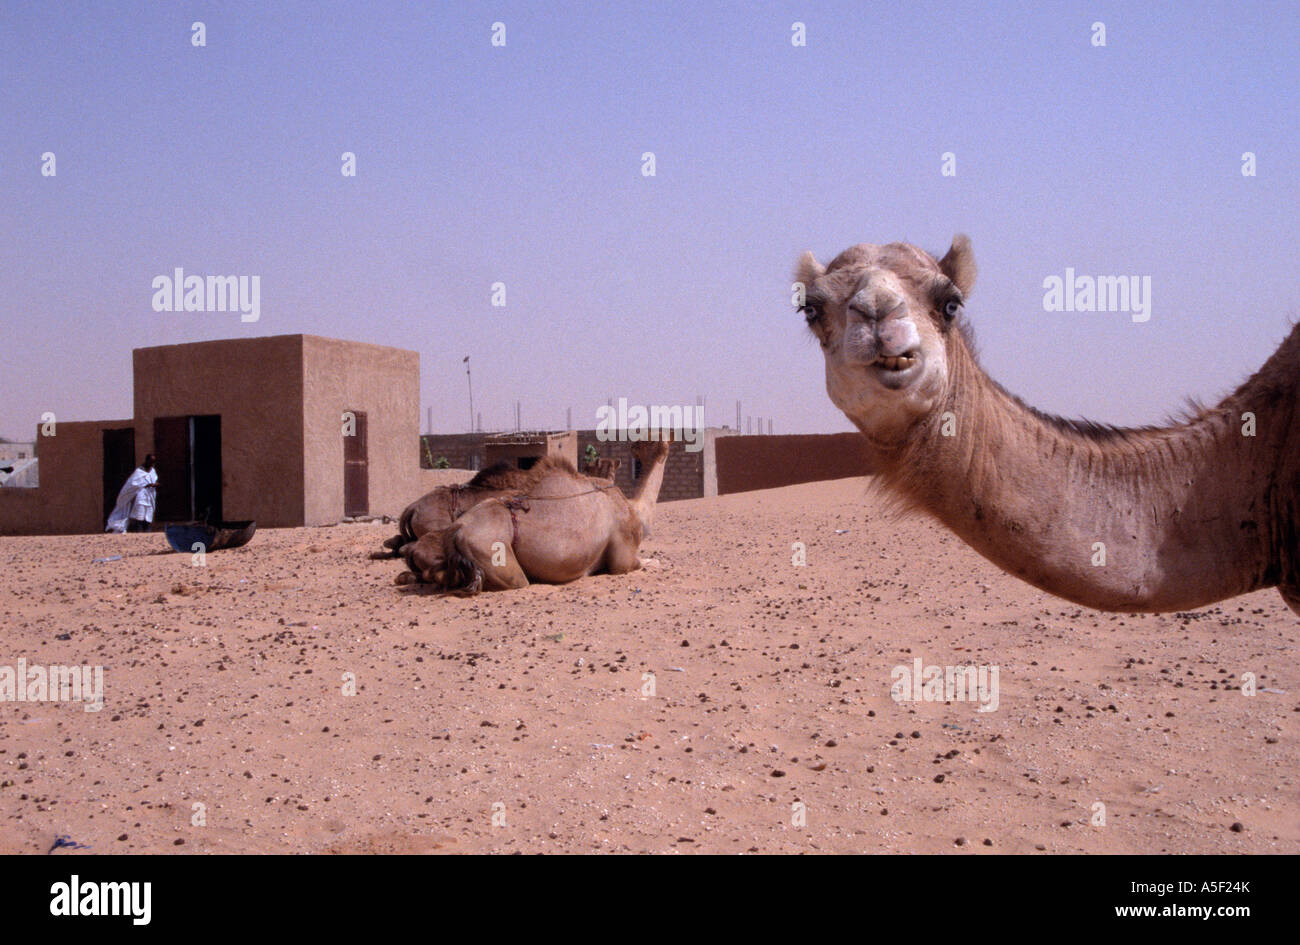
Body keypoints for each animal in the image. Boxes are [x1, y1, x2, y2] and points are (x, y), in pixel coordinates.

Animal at [400, 434, 672, 592]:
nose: (635, 446)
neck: (634, 508)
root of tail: (456, 531)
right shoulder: (622, 559)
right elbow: (652, 562)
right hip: (497, 557)